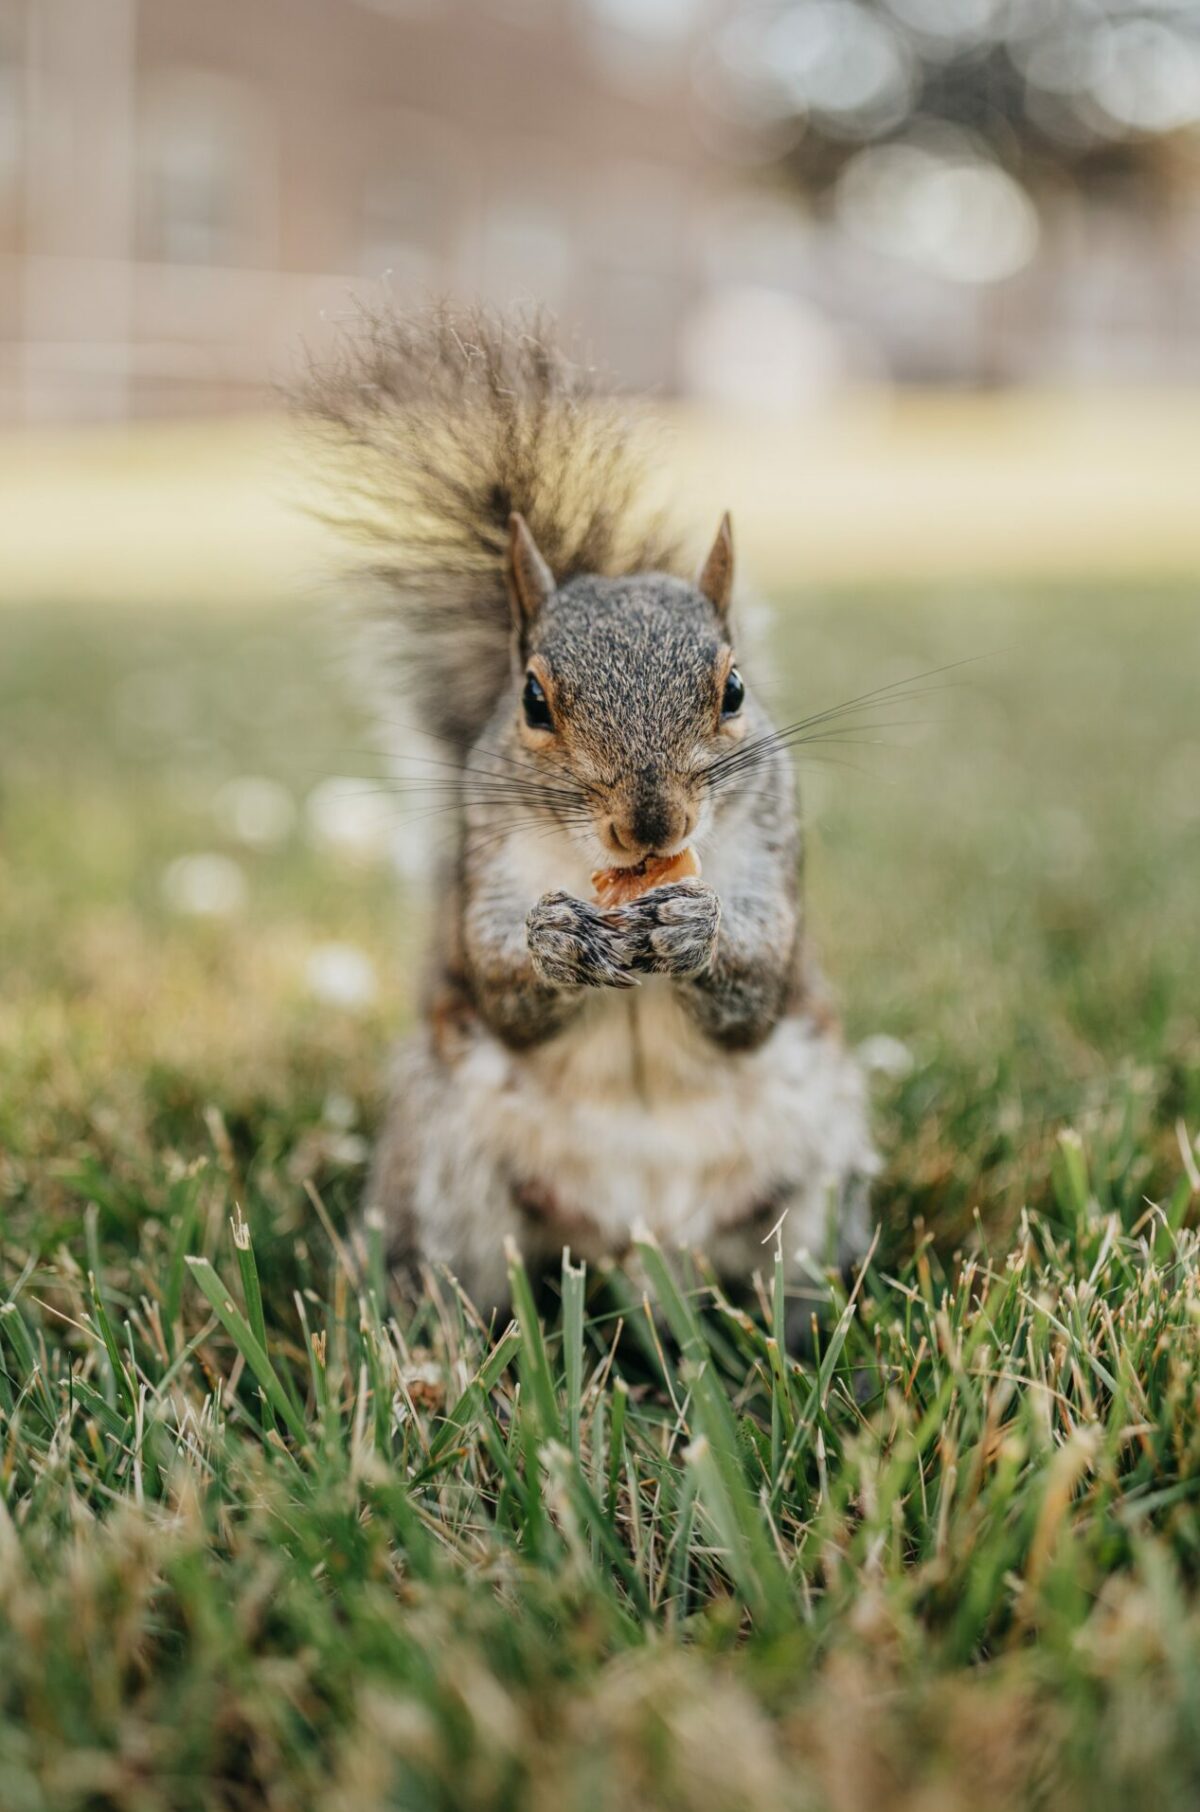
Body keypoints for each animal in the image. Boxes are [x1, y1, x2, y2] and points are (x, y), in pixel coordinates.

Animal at [304, 301, 877, 1335]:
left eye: (734, 688)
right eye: (533, 700)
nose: (650, 826)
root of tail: (641, 1248)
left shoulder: (775, 855)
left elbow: (759, 986)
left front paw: (694, 929)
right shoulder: (485, 861)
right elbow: (503, 986)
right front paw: (555, 940)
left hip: (815, 1176)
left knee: (791, 1273)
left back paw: (808, 1337)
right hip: (448, 1172)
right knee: (457, 1282)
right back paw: (431, 1355)